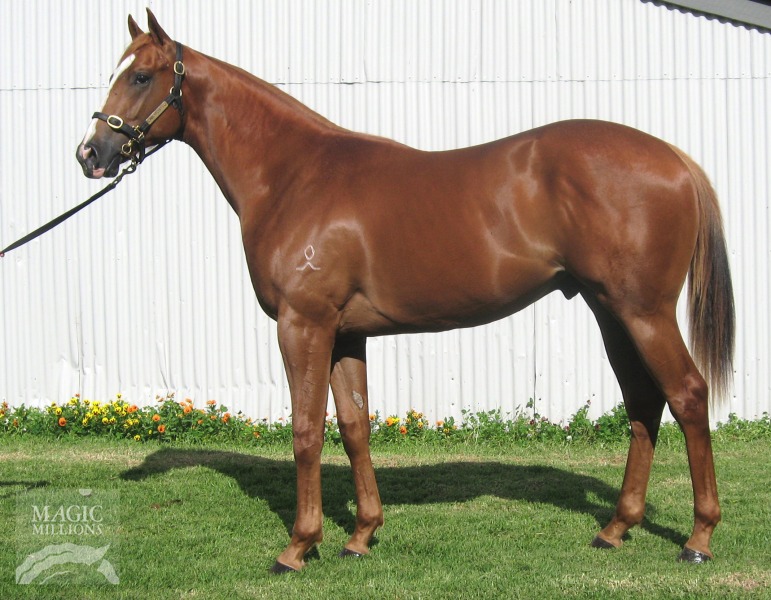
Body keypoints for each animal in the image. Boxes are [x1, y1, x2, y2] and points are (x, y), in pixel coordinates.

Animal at [76, 10, 734, 573]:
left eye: (140, 75)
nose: (91, 153)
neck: (294, 176)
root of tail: (675, 159)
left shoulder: (303, 324)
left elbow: (306, 432)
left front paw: (298, 547)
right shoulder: (346, 334)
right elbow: (354, 427)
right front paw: (361, 535)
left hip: (644, 312)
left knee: (687, 395)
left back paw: (699, 538)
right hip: (609, 311)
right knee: (644, 404)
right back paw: (615, 529)